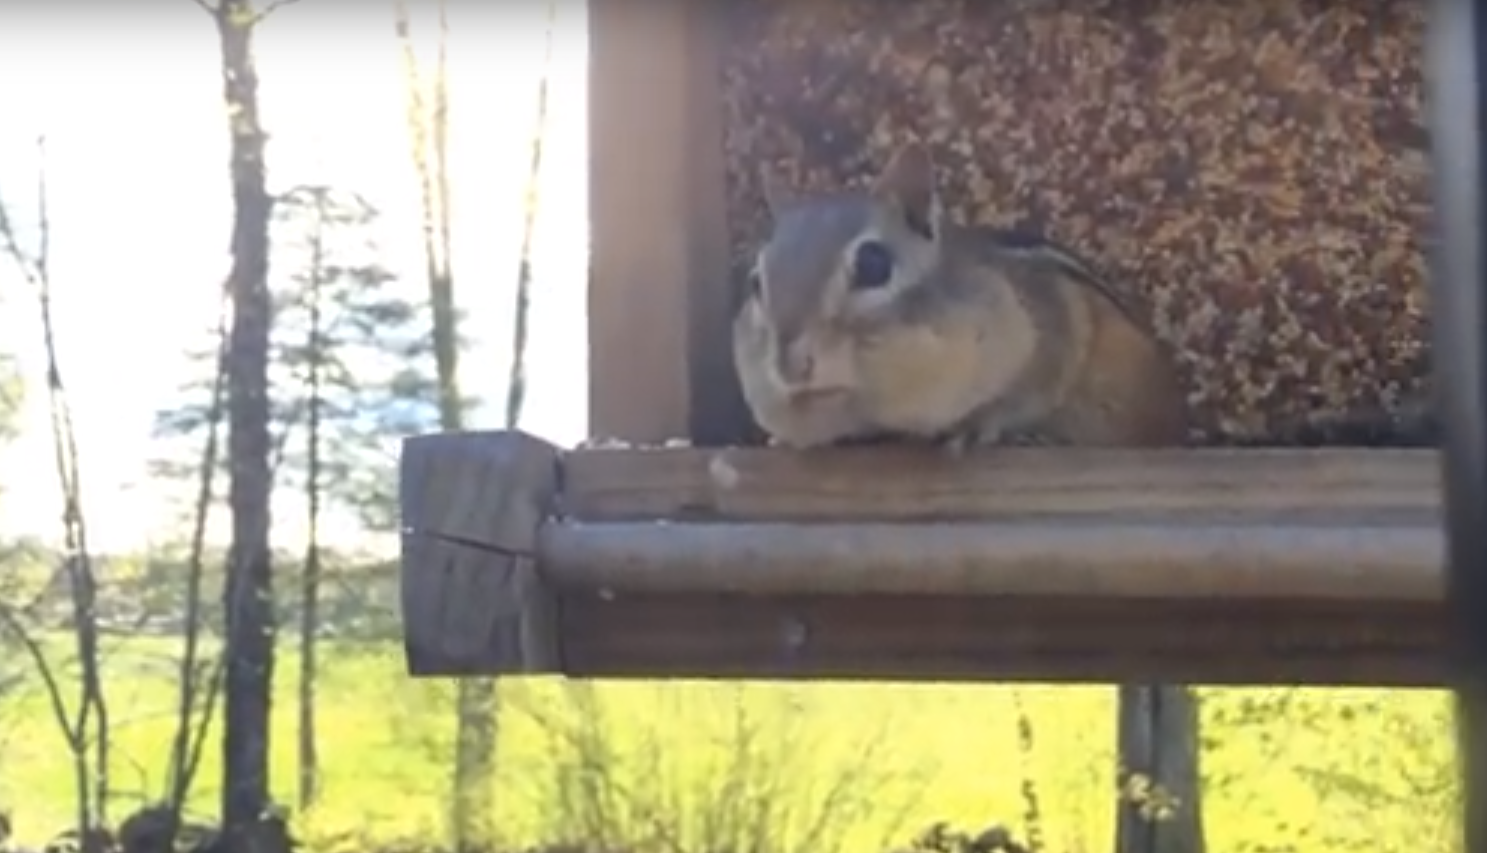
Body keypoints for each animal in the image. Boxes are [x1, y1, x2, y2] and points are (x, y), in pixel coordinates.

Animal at [731, 141, 1189, 451]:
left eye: (874, 265)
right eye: (756, 282)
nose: (790, 367)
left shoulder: (1050, 327)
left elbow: (1023, 391)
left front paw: (978, 425)